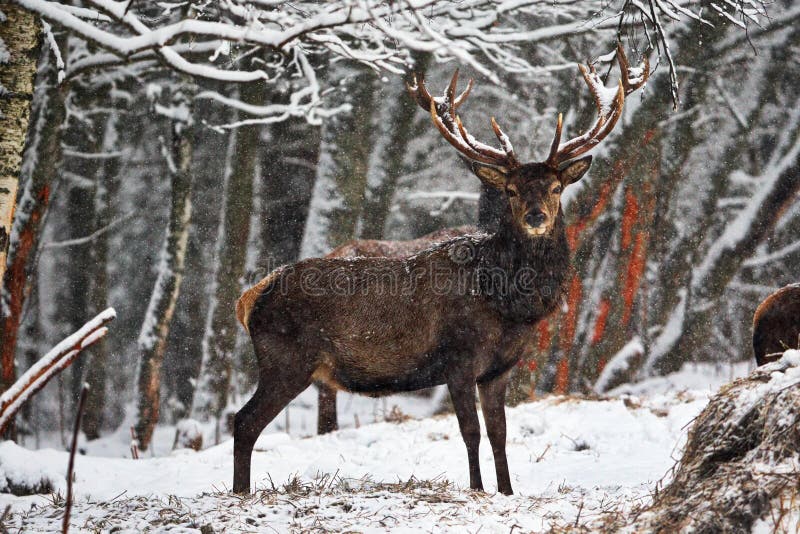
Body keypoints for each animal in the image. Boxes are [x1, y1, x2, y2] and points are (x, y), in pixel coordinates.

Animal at [233, 46, 648, 495]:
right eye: (511, 190)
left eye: (556, 188)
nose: (536, 216)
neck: (506, 304)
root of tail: (251, 296)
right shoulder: (458, 359)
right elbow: (470, 432)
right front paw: (478, 489)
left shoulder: (499, 369)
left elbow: (500, 433)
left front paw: (507, 491)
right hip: (286, 359)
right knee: (244, 421)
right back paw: (240, 493)